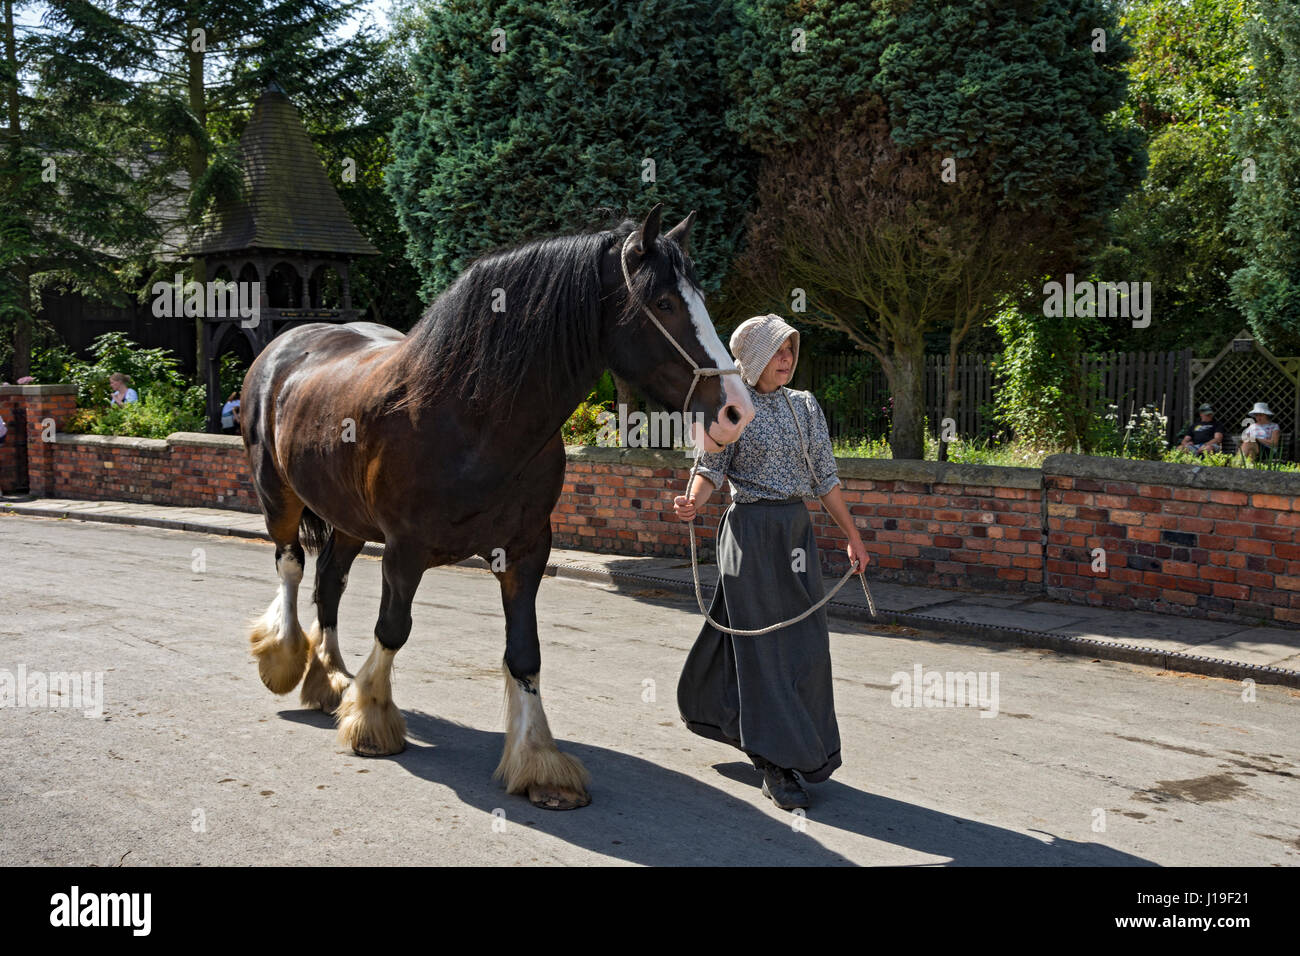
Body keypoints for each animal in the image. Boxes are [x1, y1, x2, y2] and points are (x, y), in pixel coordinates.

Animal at [239, 204, 754, 809]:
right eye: (665, 303)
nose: (736, 410)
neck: (468, 414)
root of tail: (286, 343)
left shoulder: (526, 550)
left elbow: (524, 653)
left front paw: (539, 762)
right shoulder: (404, 549)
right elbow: (393, 629)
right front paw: (372, 719)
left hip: (346, 519)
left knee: (330, 586)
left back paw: (330, 680)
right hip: (278, 496)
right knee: (292, 566)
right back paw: (284, 657)